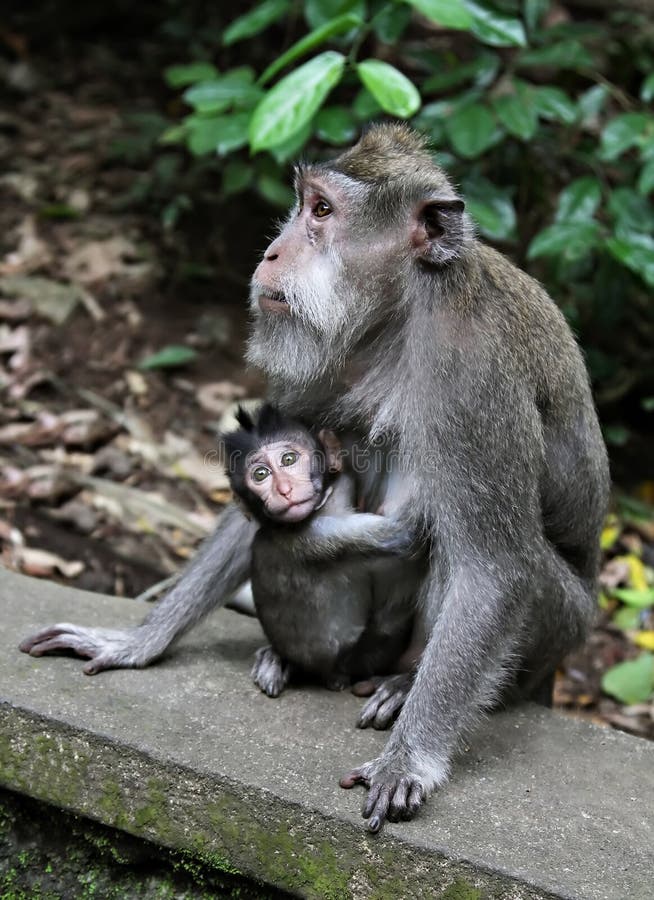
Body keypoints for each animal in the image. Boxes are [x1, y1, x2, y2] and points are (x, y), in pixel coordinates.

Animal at [221, 402, 419, 699]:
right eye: (260, 475)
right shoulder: (320, 533)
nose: (284, 489)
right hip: (360, 659)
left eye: (288, 459)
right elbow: (407, 534)